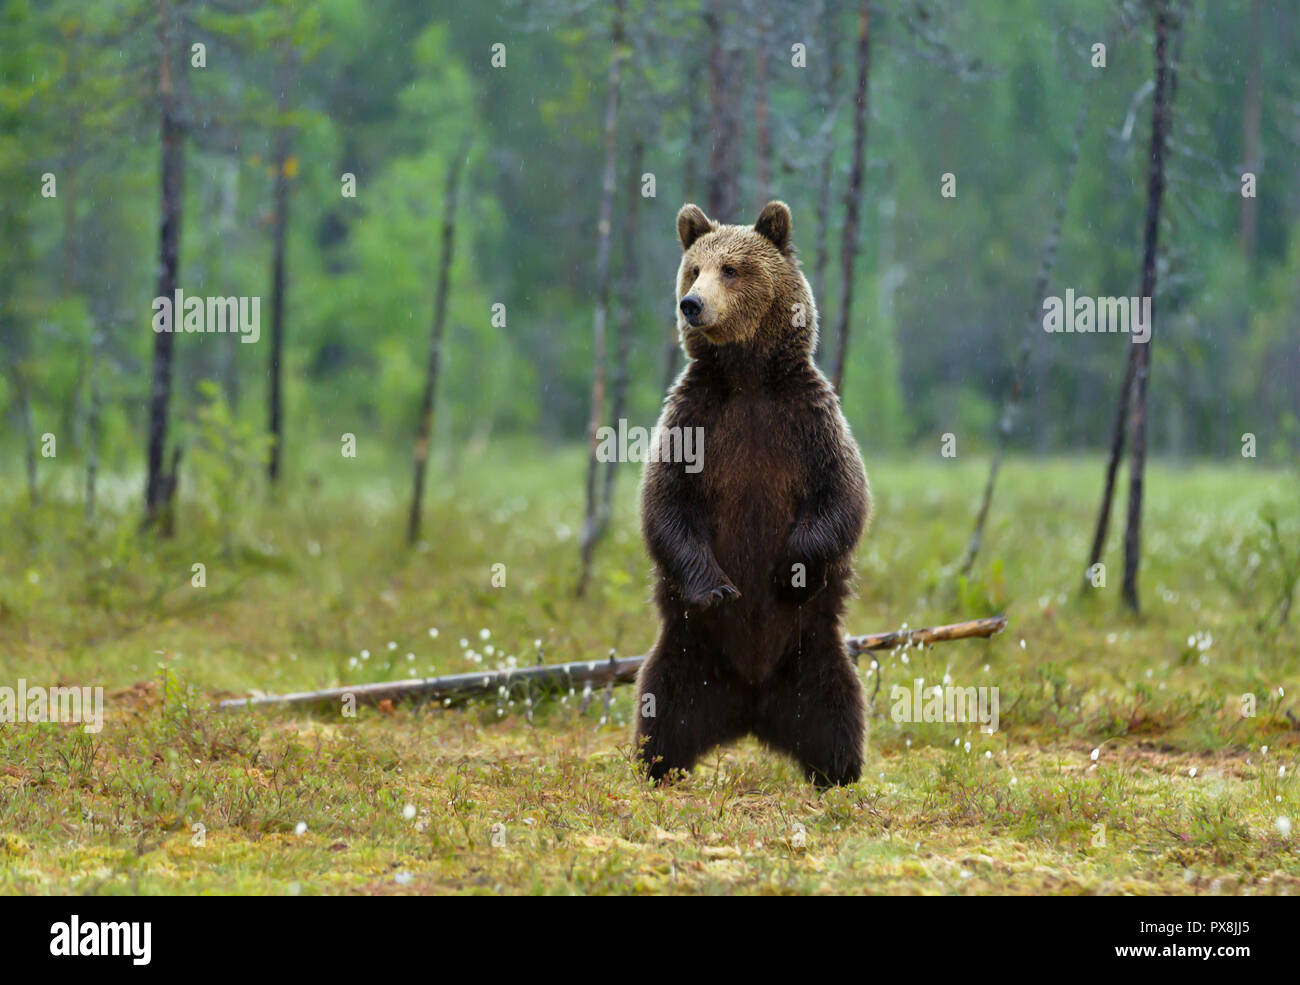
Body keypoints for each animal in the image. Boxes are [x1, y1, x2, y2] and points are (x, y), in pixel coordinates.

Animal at [634, 199, 871, 788]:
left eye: (732, 269)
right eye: (694, 269)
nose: (692, 304)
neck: (746, 378)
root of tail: (750, 705)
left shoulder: (806, 420)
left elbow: (842, 497)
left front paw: (789, 571)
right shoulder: (694, 421)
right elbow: (666, 505)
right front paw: (719, 588)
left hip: (813, 652)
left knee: (839, 709)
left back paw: (838, 771)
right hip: (687, 653)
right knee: (660, 706)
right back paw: (657, 766)